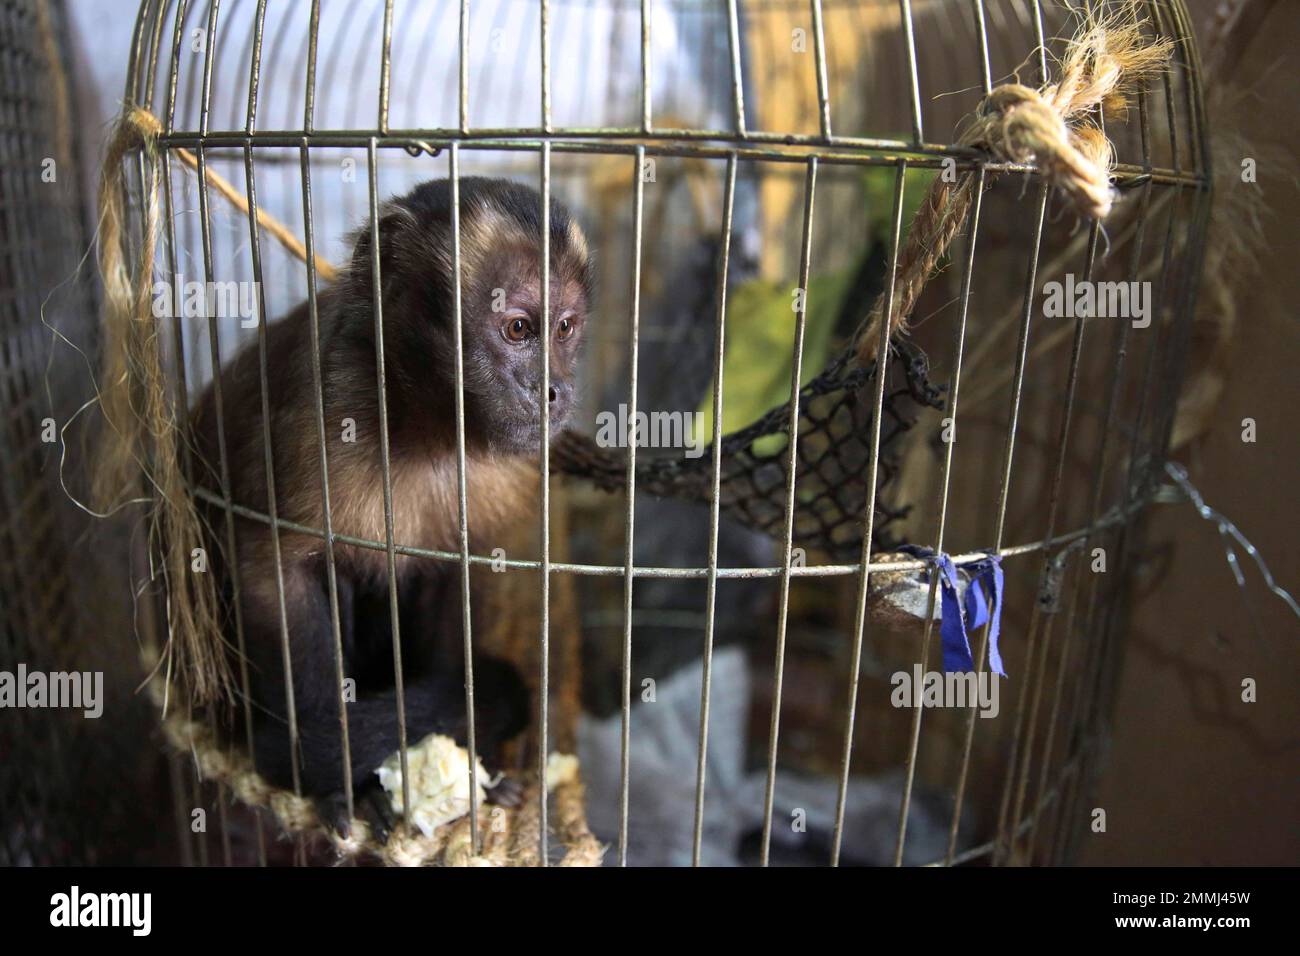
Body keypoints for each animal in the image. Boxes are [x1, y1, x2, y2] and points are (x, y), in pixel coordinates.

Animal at [189, 177, 592, 831]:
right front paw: (342, 780)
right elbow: (273, 571)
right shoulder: (321, 409)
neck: (424, 422)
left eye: (564, 329)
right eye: (517, 329)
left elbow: (454, 583)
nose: (554, 388)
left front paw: (469, 751)